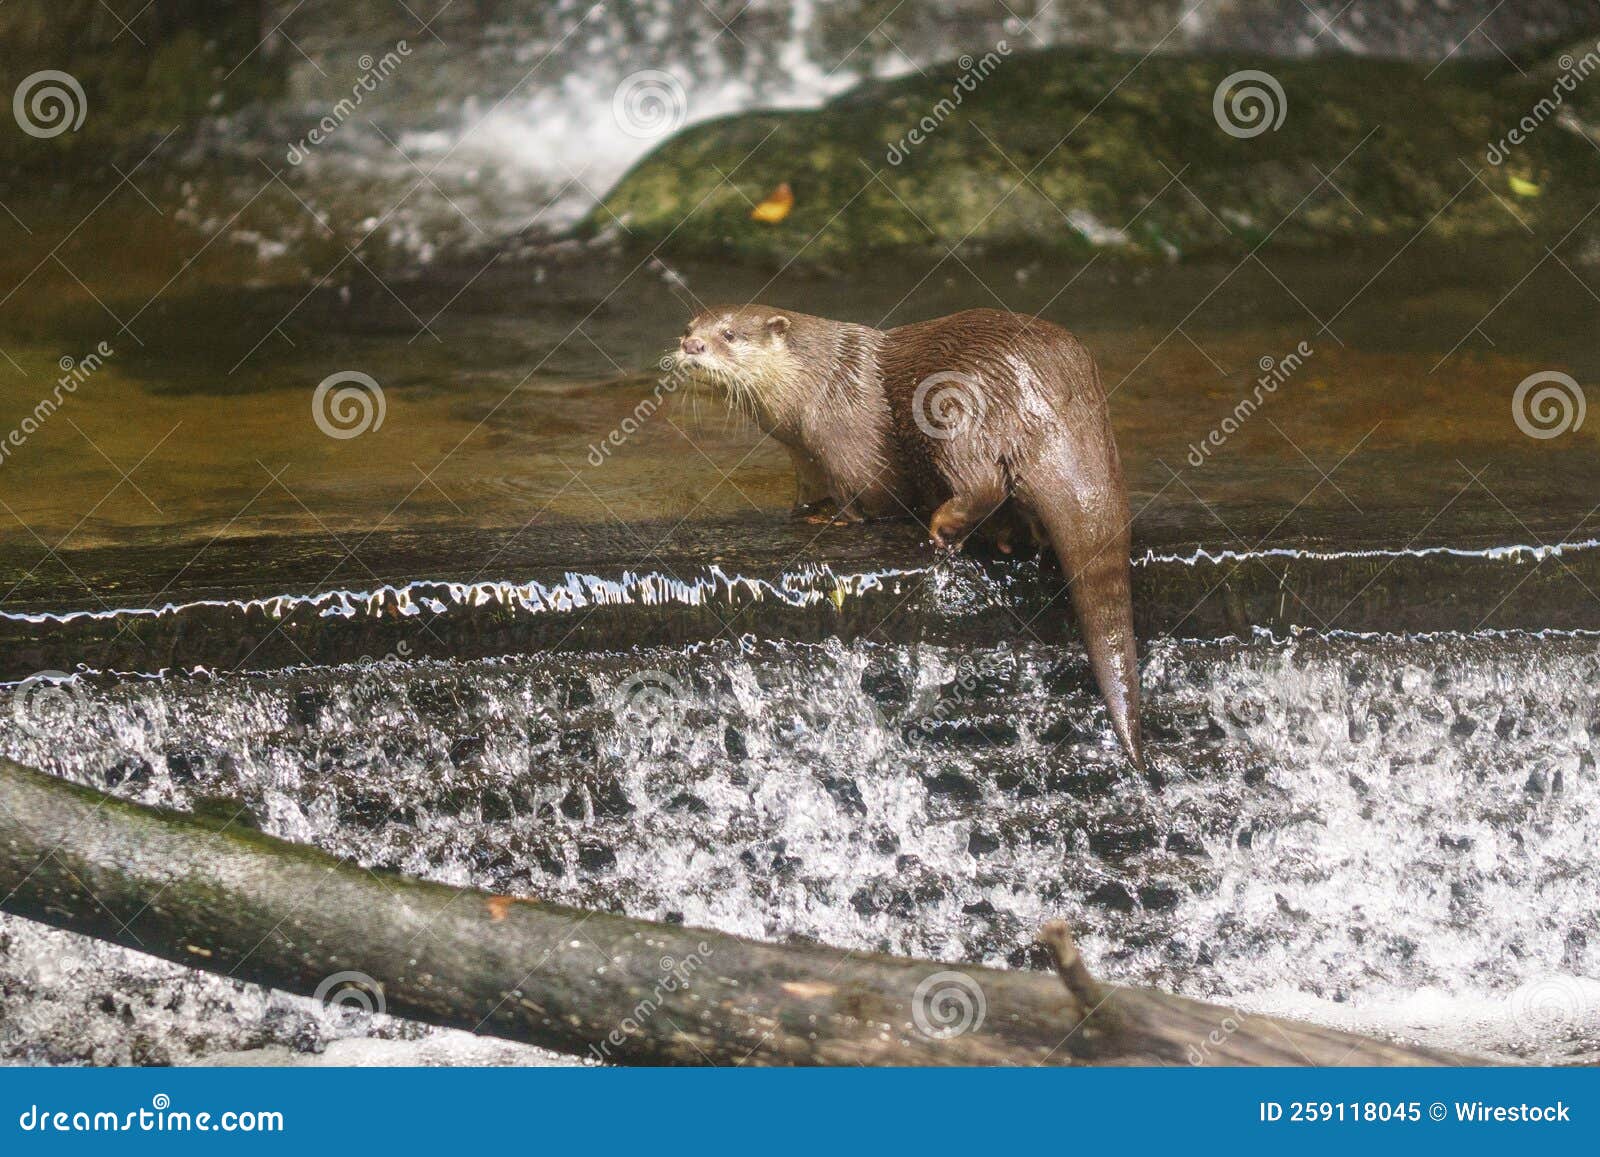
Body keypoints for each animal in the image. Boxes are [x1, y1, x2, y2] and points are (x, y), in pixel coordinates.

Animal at [673, 305, 1142, 768]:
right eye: (689, 327)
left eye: (729, 334)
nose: (691, 345)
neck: (815, 386)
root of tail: (1049, 400)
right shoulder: (806, 462)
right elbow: (807, 496)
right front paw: (807, 515)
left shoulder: (848, 443)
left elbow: (872, 495)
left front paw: (837, 520)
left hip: (959, 409)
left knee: (983, 480)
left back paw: (945, 525)